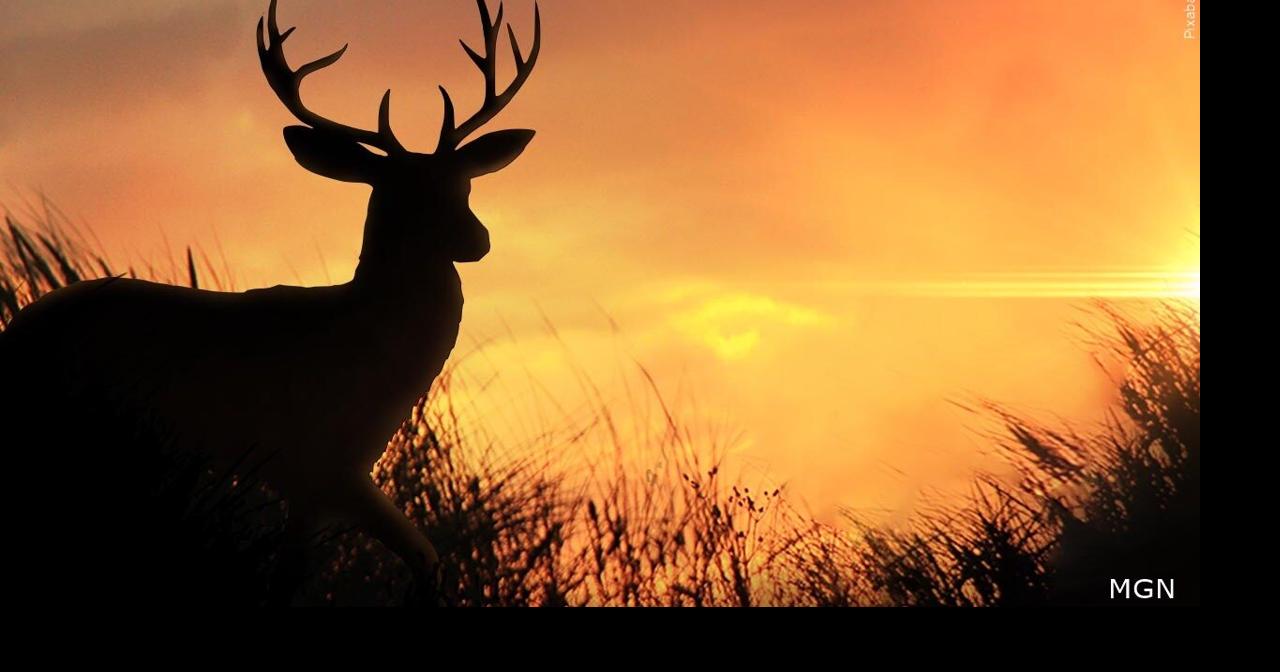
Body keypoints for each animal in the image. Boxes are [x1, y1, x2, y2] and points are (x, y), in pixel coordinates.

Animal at [0, 0, 540, 604]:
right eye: (402, 195)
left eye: (465, 185)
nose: (478, 240)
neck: (365, 344)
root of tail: (15, 331)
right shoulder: (319, 464)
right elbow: (320, 576)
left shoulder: (337, 474)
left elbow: (423, 558)